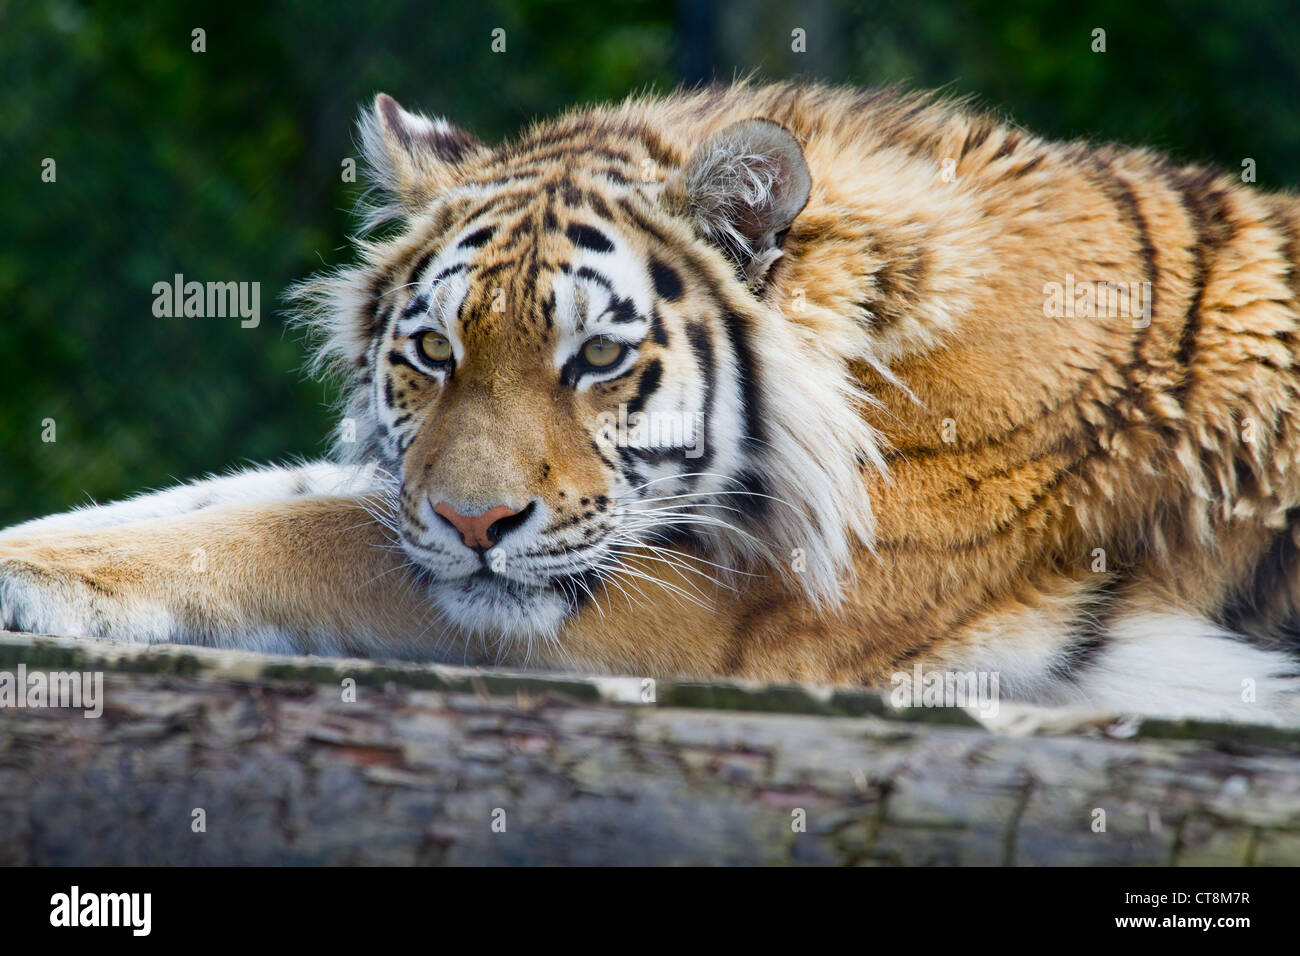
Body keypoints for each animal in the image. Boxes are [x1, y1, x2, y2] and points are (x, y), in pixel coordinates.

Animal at [3, 80, 1300, 724]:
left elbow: (288, 534)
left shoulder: (730, 608)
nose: (475, 524)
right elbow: (232, 499)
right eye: (430, 350)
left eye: (593, 358)